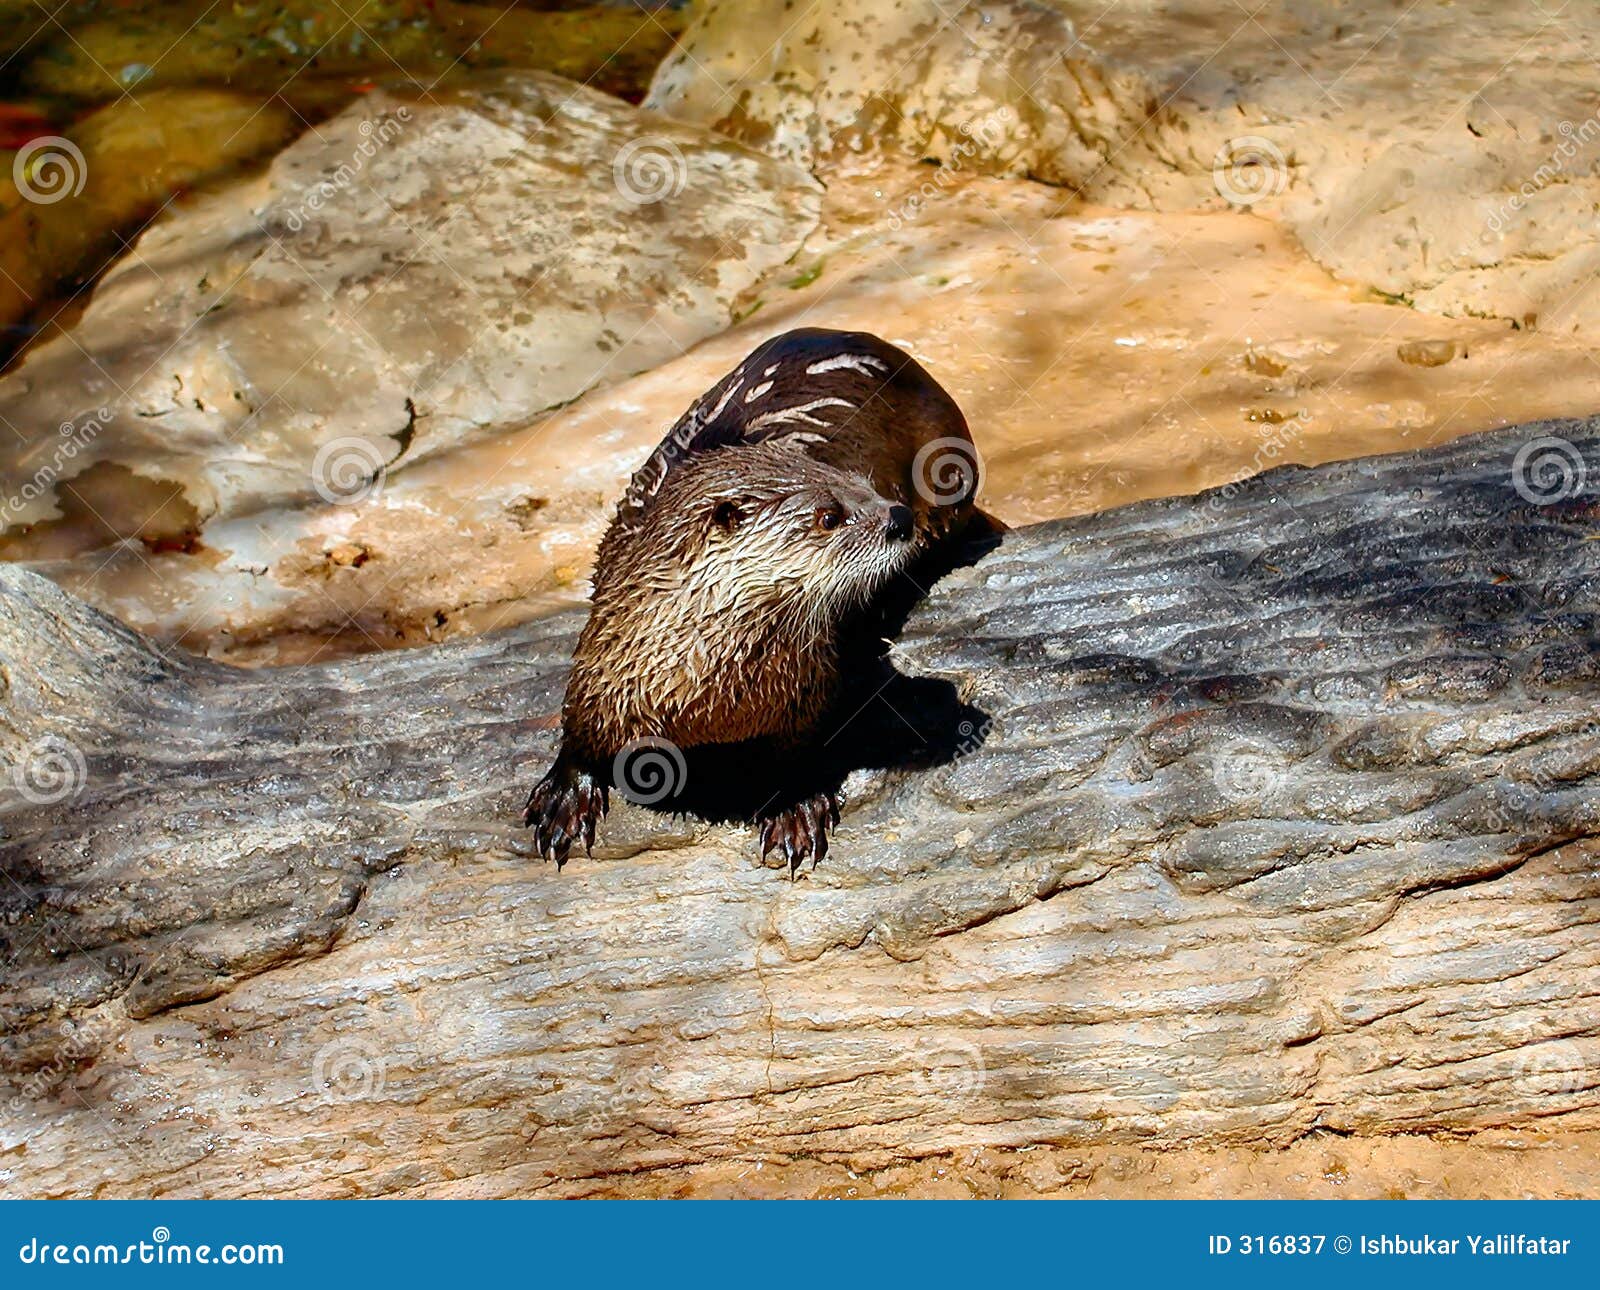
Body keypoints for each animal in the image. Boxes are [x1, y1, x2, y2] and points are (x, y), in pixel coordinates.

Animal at [523, 327, 979, 871]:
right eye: (829, 516)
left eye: (864, 484)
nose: (899, 517)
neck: (709, 698)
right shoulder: (602, 667)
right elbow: (577, 728)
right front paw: (564, 798)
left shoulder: (813, 686)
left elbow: (810, 746)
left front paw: (793, 806)